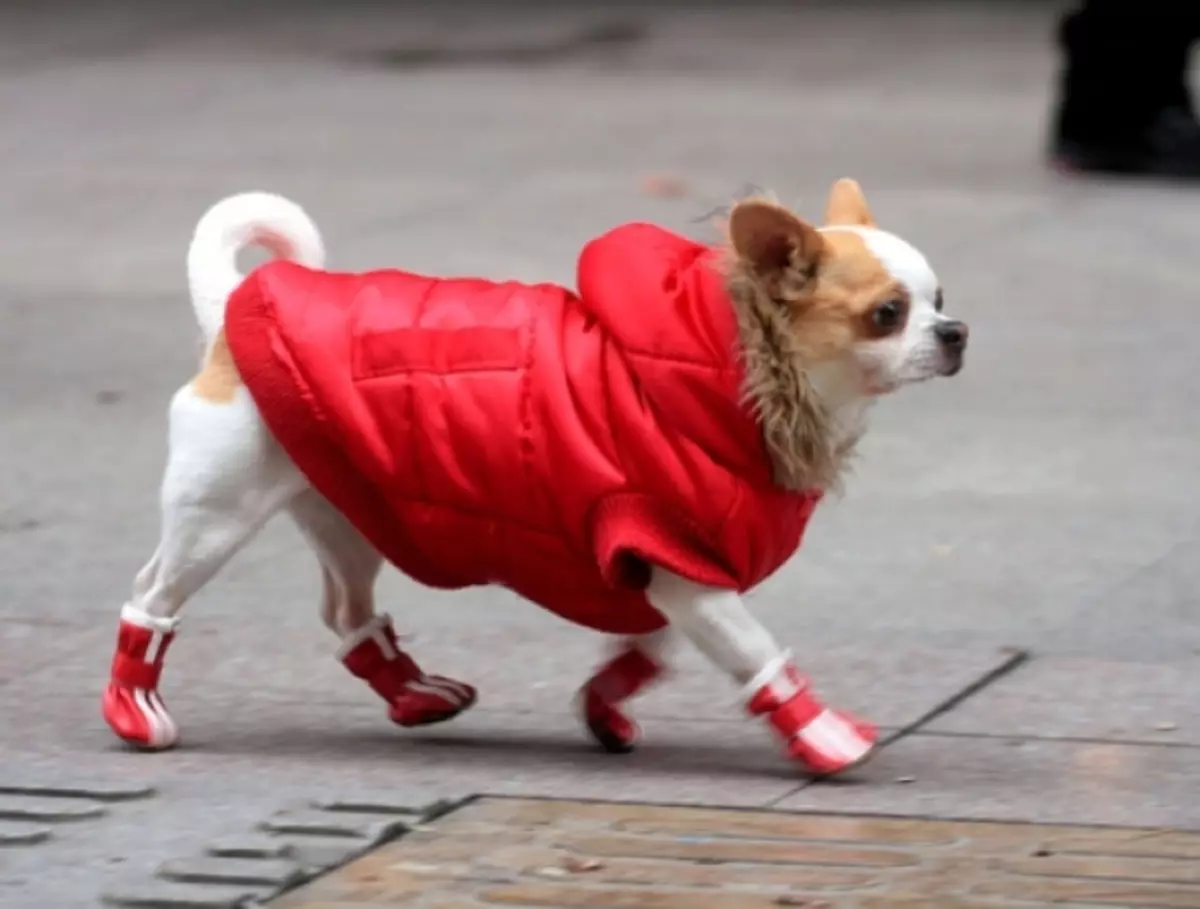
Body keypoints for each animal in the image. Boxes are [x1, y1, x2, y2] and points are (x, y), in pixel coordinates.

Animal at [100, 177, 964, 777]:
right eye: (888, 314)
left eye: (940, 298)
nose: (955, 330)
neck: (746, 367)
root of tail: (228, 315)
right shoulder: (680, 563)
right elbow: (757, 653)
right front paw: (823, 735)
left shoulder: (659, 572)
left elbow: (650, 651)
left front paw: (604, 706)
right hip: (217, 513)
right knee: (152, 596)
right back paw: (135, 708)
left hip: (345, 510)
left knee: (346, 612)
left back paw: (414, 692)